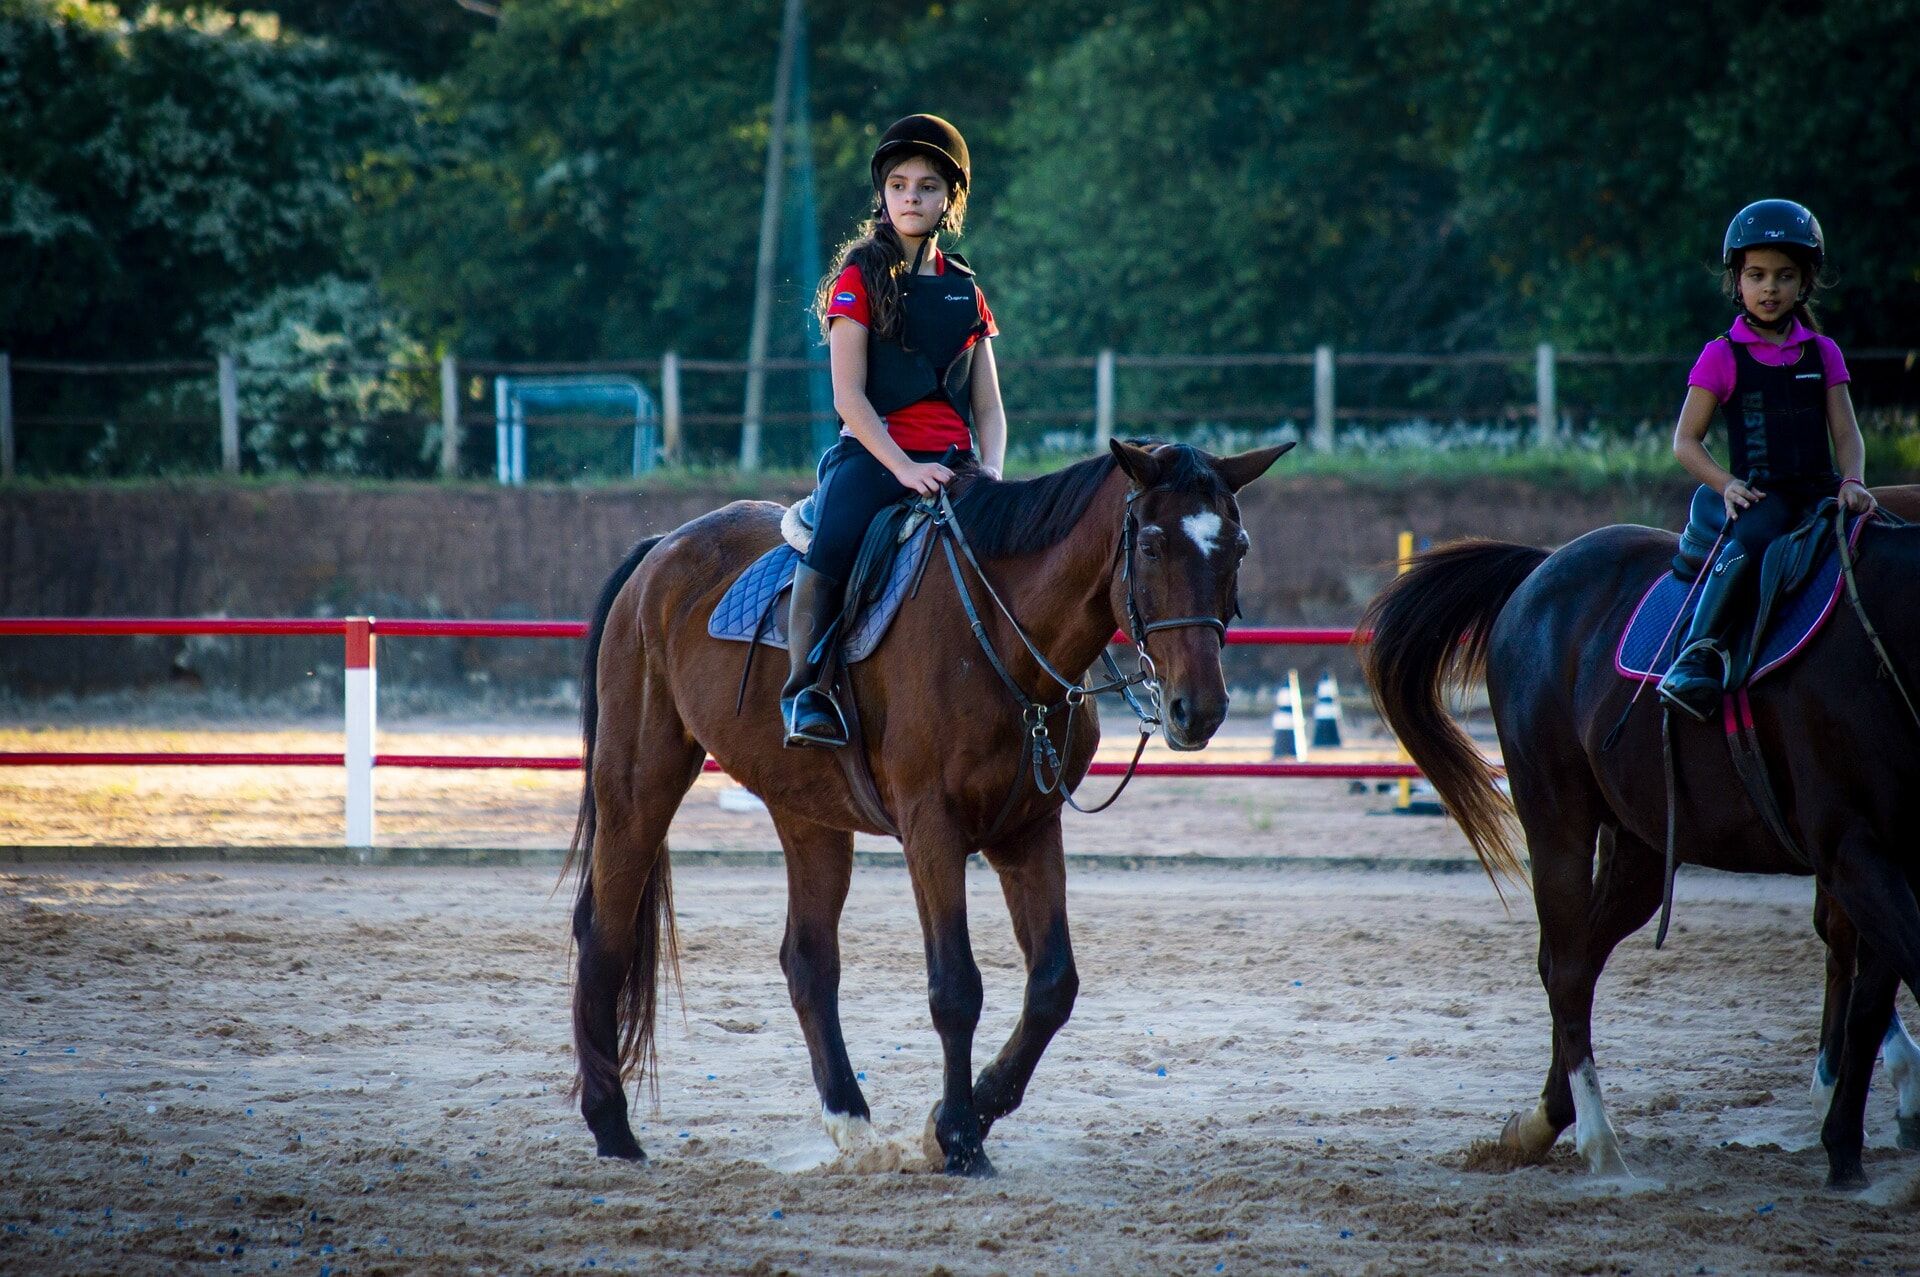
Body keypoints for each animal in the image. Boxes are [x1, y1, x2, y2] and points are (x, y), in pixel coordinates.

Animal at [564, 440, 1292, 1175]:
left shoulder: (1030, 829)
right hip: (638, 785)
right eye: (1150, 543)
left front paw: (970, 1109)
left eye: (1237, 546)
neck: (998, 632)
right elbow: (956, 988)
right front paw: (961, 1137)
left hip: (809, 814)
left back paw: (851, 1122)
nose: (1199, 709)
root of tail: (660, 552)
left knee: (808, 960)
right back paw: (612, 1127)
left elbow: (1053, 984)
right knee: (603, 934)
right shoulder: (931, 830)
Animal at [1361, 484, 1920, 1189]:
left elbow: (1871, 991)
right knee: (1569, 970)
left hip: (1639, 847)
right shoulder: (1855, 853)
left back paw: (1545, 1122)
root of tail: (1544, 568)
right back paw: (1598, 1143)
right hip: (1560, 824)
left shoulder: (1886, 860)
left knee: (1572, 959)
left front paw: (1846, 1139)